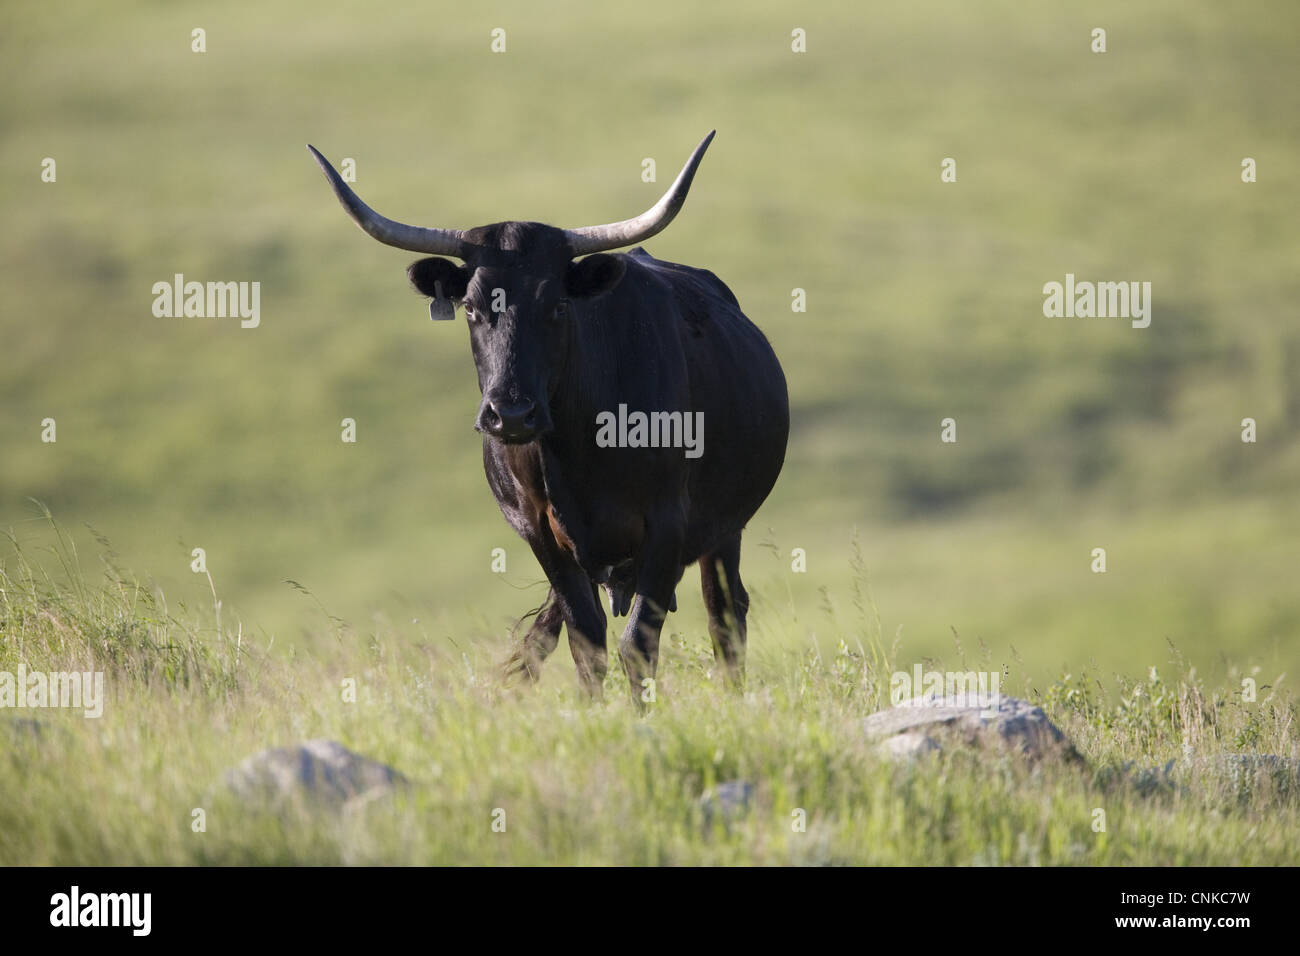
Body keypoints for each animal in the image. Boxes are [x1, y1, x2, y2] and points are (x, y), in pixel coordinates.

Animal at [307, 132, 789, 703]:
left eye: (558, 306)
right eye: (472, 307)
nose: (512, 413)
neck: (582, 449)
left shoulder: (669, 521)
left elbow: (638, 644)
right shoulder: (542, 533)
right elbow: (586, 640)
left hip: (723, 531)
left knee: (726, 617)